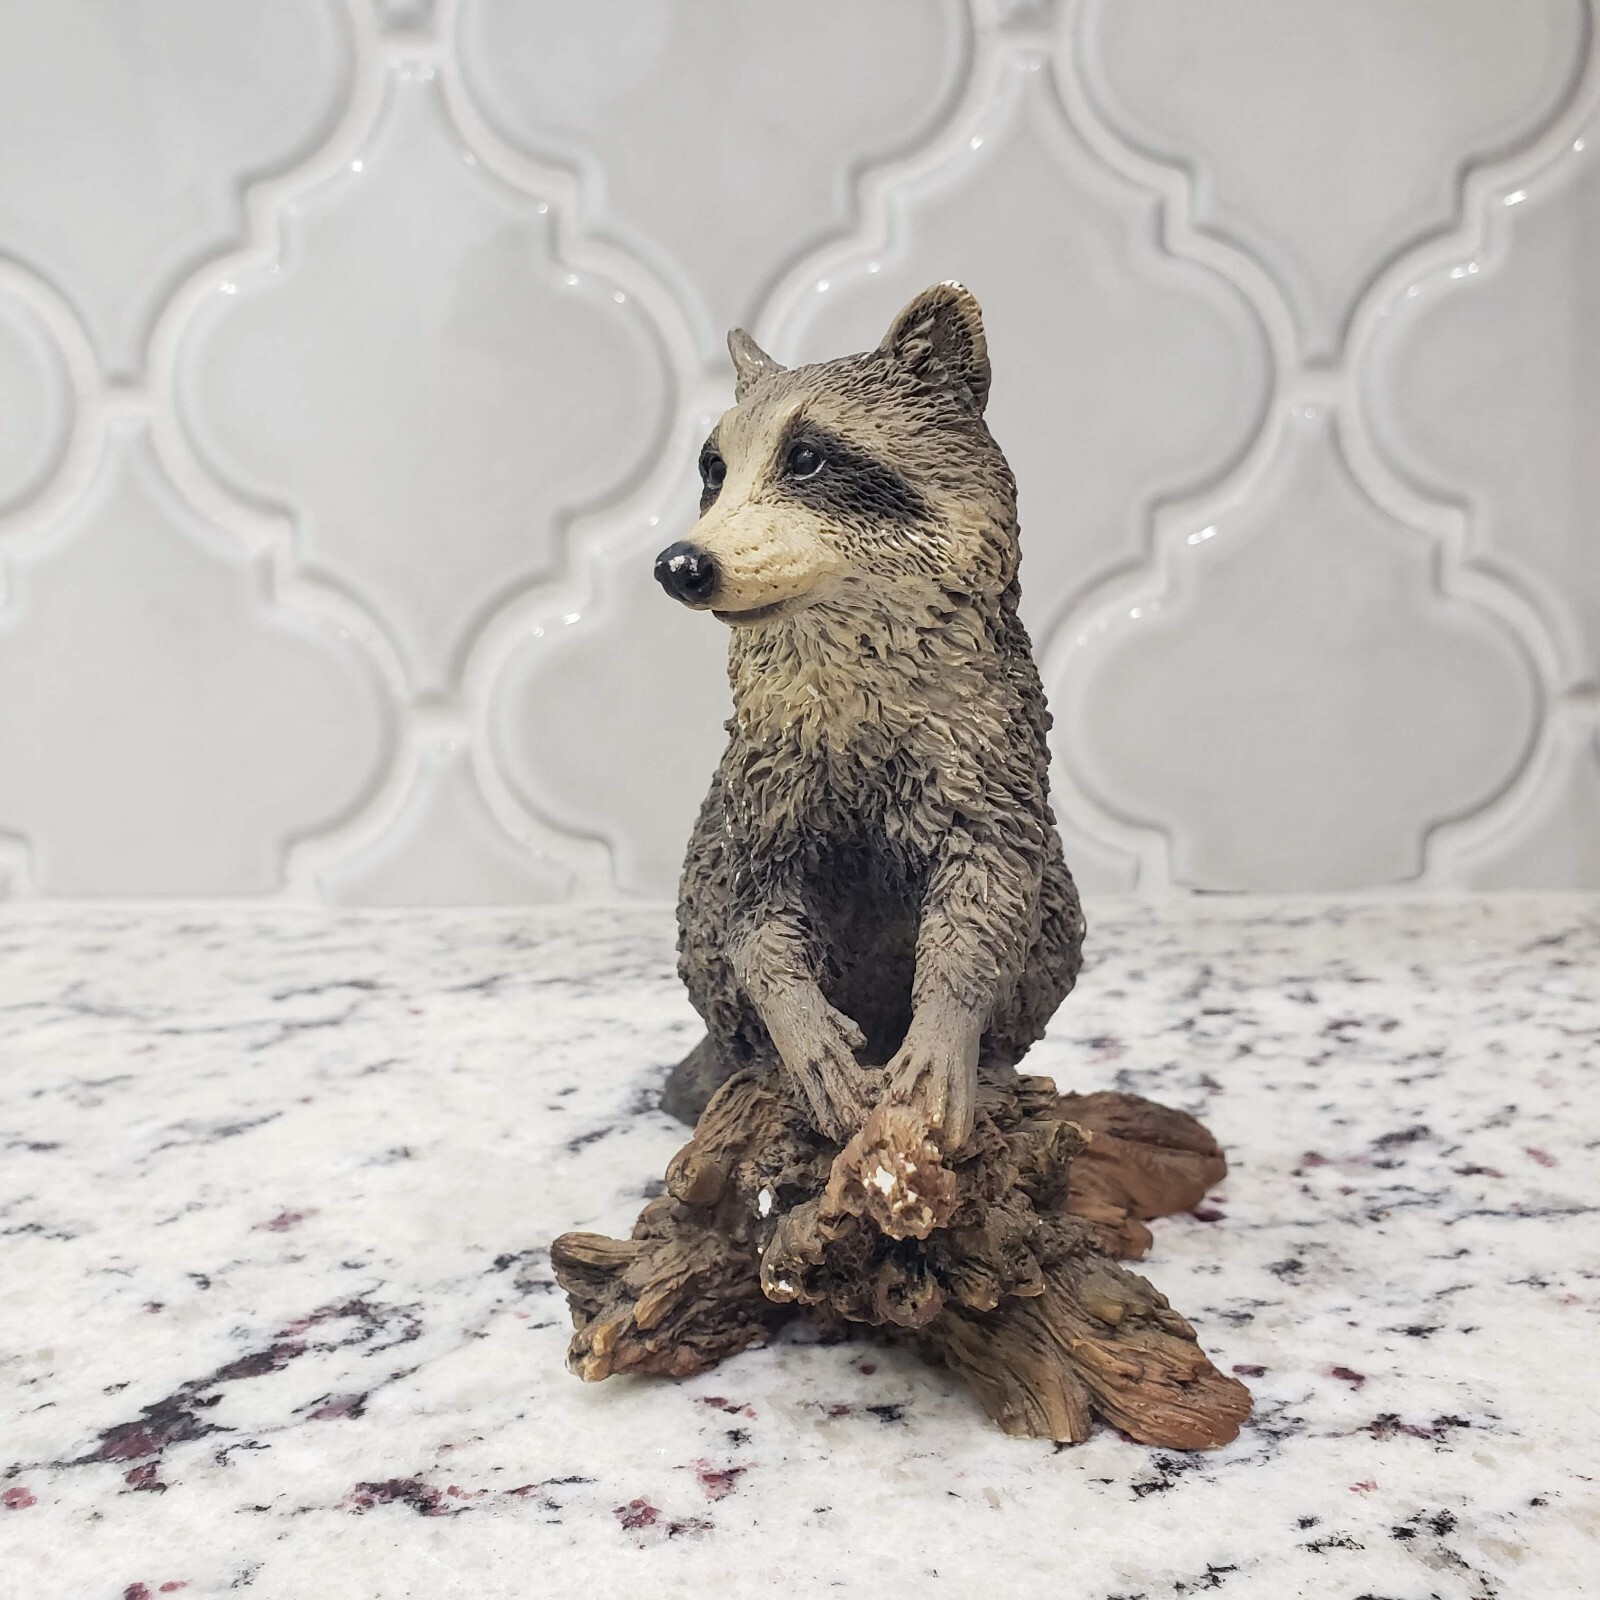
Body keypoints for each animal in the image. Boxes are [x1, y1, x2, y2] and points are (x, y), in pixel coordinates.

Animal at [654, 282, 1084, 1150]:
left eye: (807, 458)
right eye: (714, 471)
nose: (678, 565)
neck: (847, 671)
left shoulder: (991, 765)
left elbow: (985, 901)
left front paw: (948, 1029)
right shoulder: (760, 789)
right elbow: (755, 923)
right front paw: (800, 1027)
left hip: (1058, 912)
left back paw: (996, 1069)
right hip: (701, 905)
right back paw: (758, 1072)